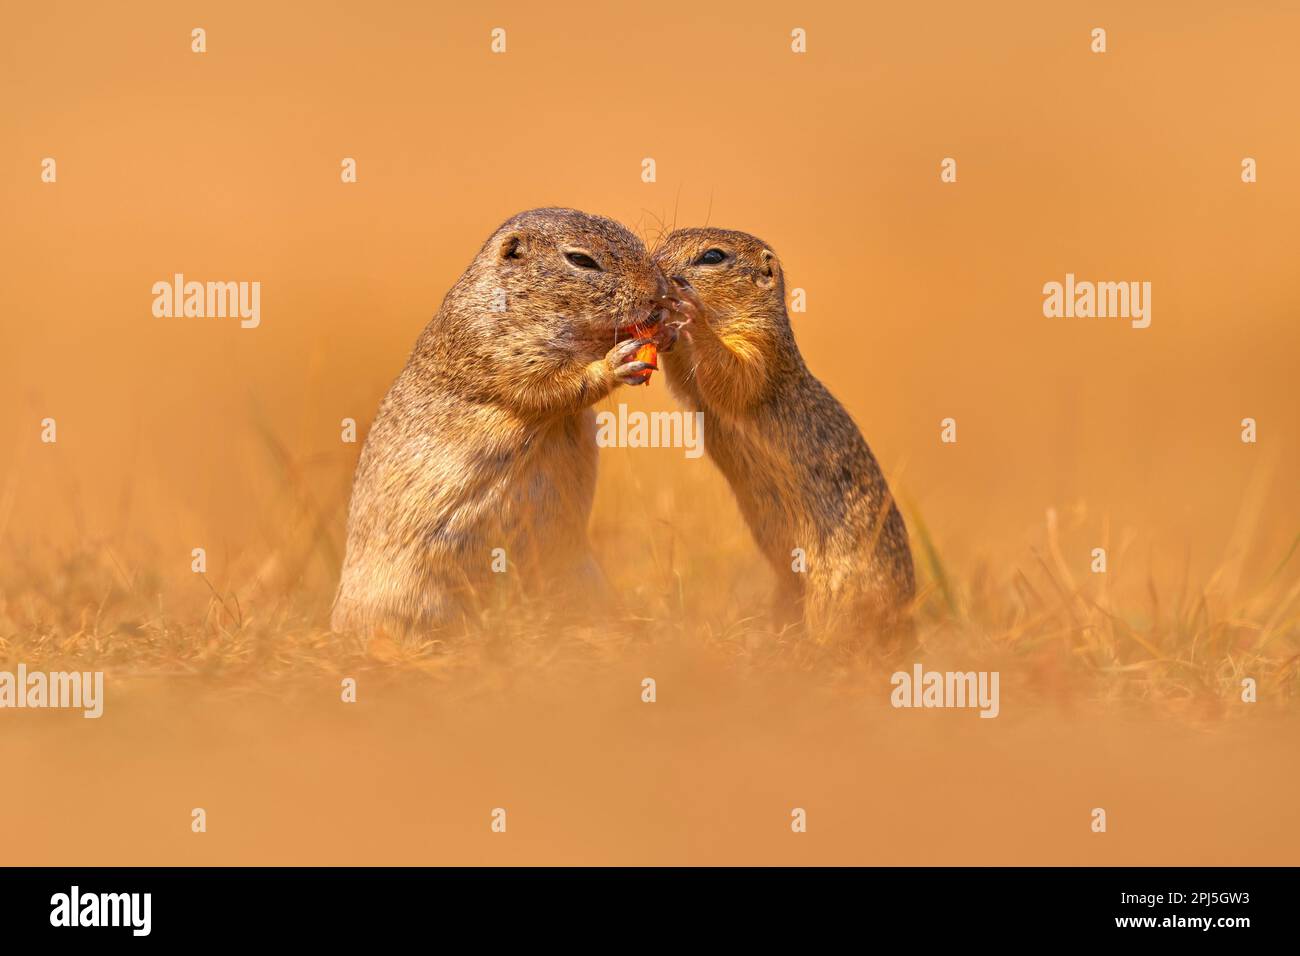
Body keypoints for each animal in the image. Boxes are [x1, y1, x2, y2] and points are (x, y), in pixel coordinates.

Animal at [652, 227, 915, 642]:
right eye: (668, 239)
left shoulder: (762, 351)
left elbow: (732, 374)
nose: (655, 264)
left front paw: (692, 315)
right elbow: (687, 381)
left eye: (712, 256)